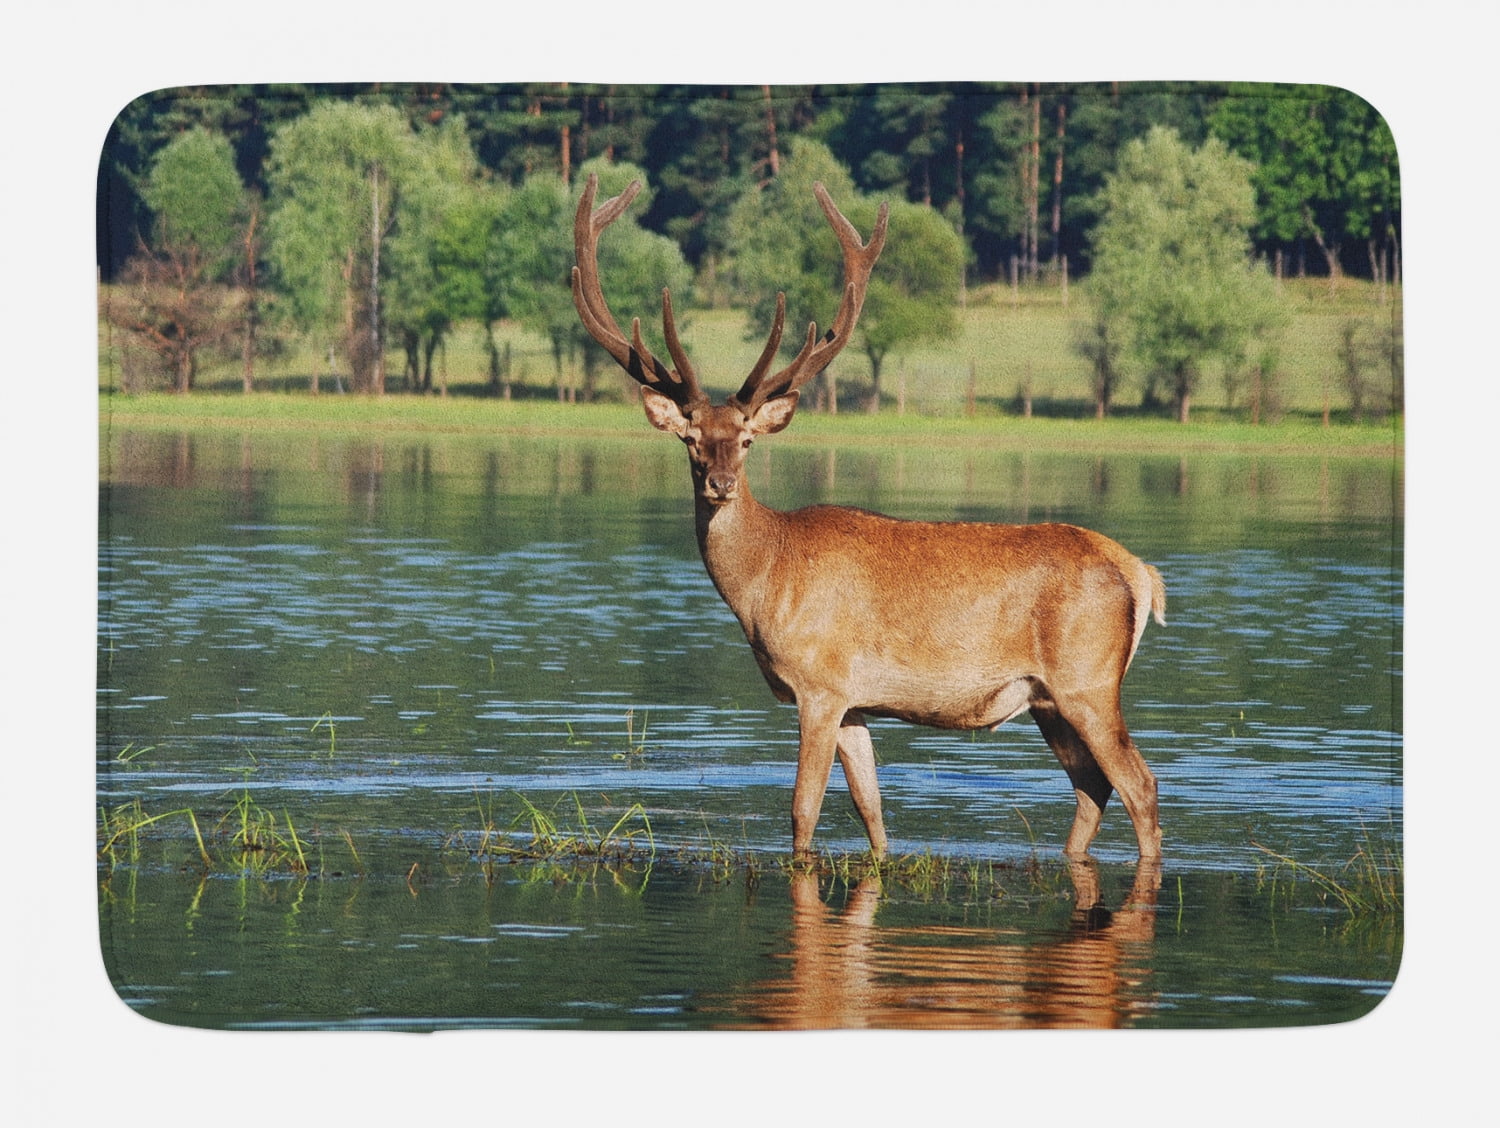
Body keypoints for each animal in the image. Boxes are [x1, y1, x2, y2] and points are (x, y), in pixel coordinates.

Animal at [571, 173, 1166, 864]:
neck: (767, 581)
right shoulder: (856, 703)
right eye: (691, 439)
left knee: (1139, 783)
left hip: (1087, 681)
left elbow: (802, 810)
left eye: (746, 440)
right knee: (1093, 787)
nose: (720, 484)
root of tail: (1140, 574)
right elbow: (872, 810)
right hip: (1049, 700)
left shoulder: (820, 683)